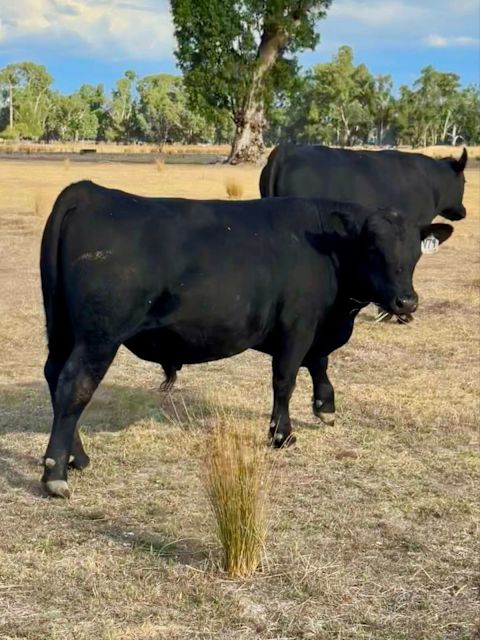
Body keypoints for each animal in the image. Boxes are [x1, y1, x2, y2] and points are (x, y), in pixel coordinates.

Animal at [40, 181, 453, 497]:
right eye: (372, 247)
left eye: (415, 252)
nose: (406, 301)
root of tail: (90, 191)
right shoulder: (296, 327)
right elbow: (285, 380)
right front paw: (282, 435)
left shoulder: (316, 329)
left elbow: (319, 363)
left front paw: (325, 406)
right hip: (99, 338)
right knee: (74, 386)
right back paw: (55, 472)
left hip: (62, 330)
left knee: (55, 377)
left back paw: (76, 457)